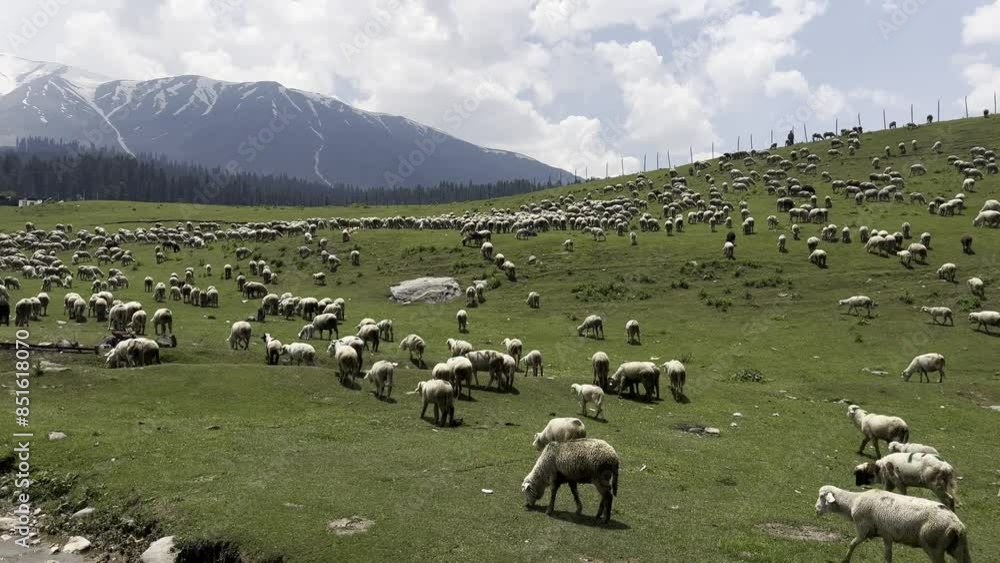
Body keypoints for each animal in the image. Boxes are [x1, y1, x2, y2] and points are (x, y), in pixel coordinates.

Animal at [815, 485, 971, 563]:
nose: (815, 509)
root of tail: (957, 525)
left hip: (934, 546)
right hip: (958, 547)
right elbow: (888, 556)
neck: (853, 502)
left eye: (822, 496)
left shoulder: (863, 529)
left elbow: (852, 544)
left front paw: (845, 560)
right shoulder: (886, 535)